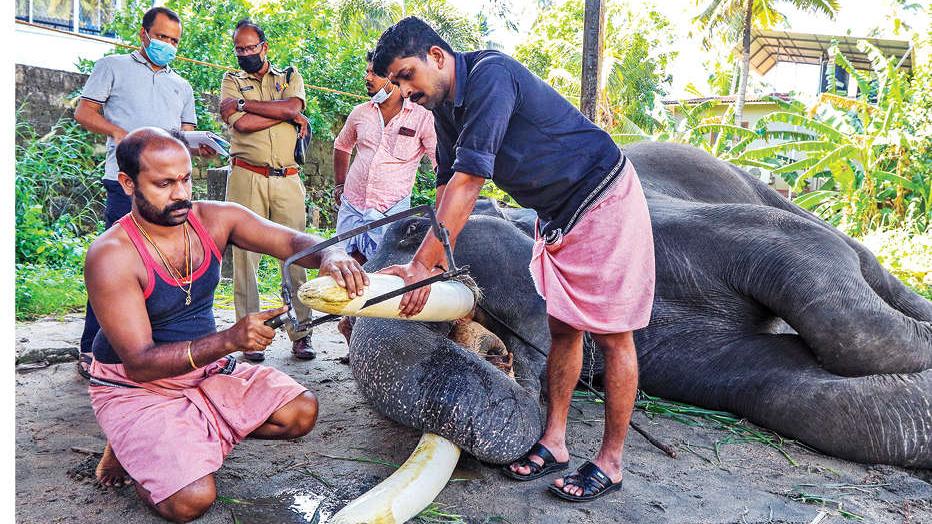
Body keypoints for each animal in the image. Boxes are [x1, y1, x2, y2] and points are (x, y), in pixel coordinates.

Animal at [344, 141, 932, 469]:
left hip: (758, 187)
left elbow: (808, 260)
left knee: (843, 245)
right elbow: (794, 394)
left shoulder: (663, 229)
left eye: (412, 230)